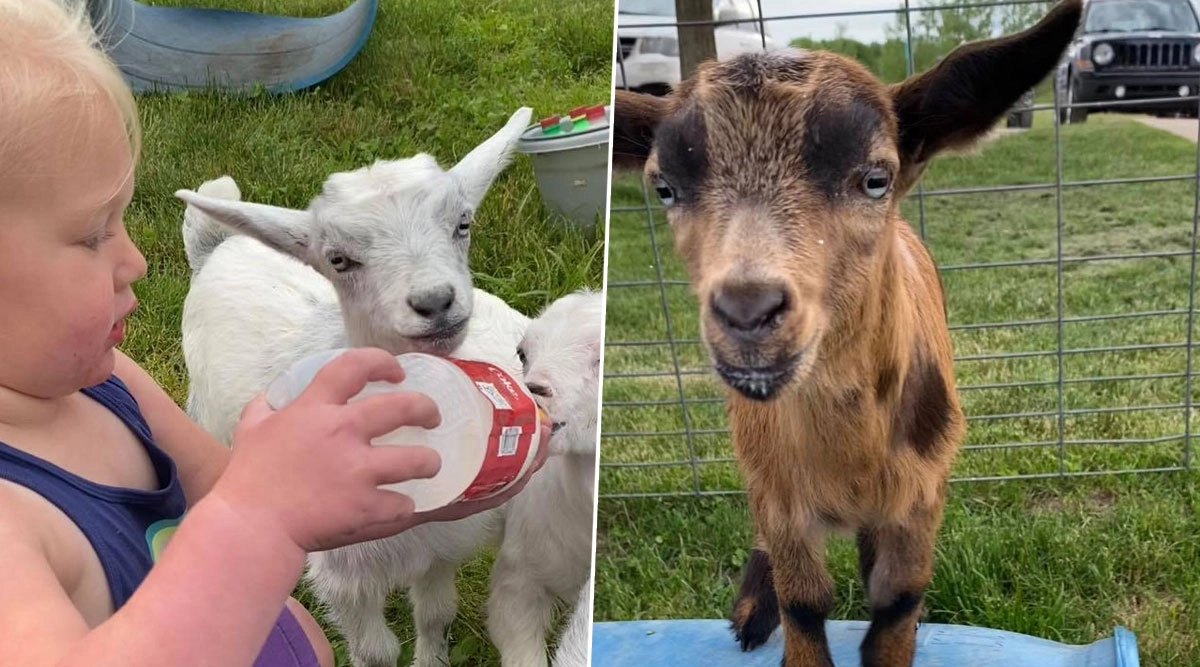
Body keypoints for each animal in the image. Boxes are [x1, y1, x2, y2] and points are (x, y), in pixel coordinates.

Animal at [610, 3, 1081, 666]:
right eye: (664, 187)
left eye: (876, 179)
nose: (748, 311)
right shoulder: (776, 490)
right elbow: (805, 601)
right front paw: (773, 612)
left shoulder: (923, 492)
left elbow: (897, 600)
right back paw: (752, 608)